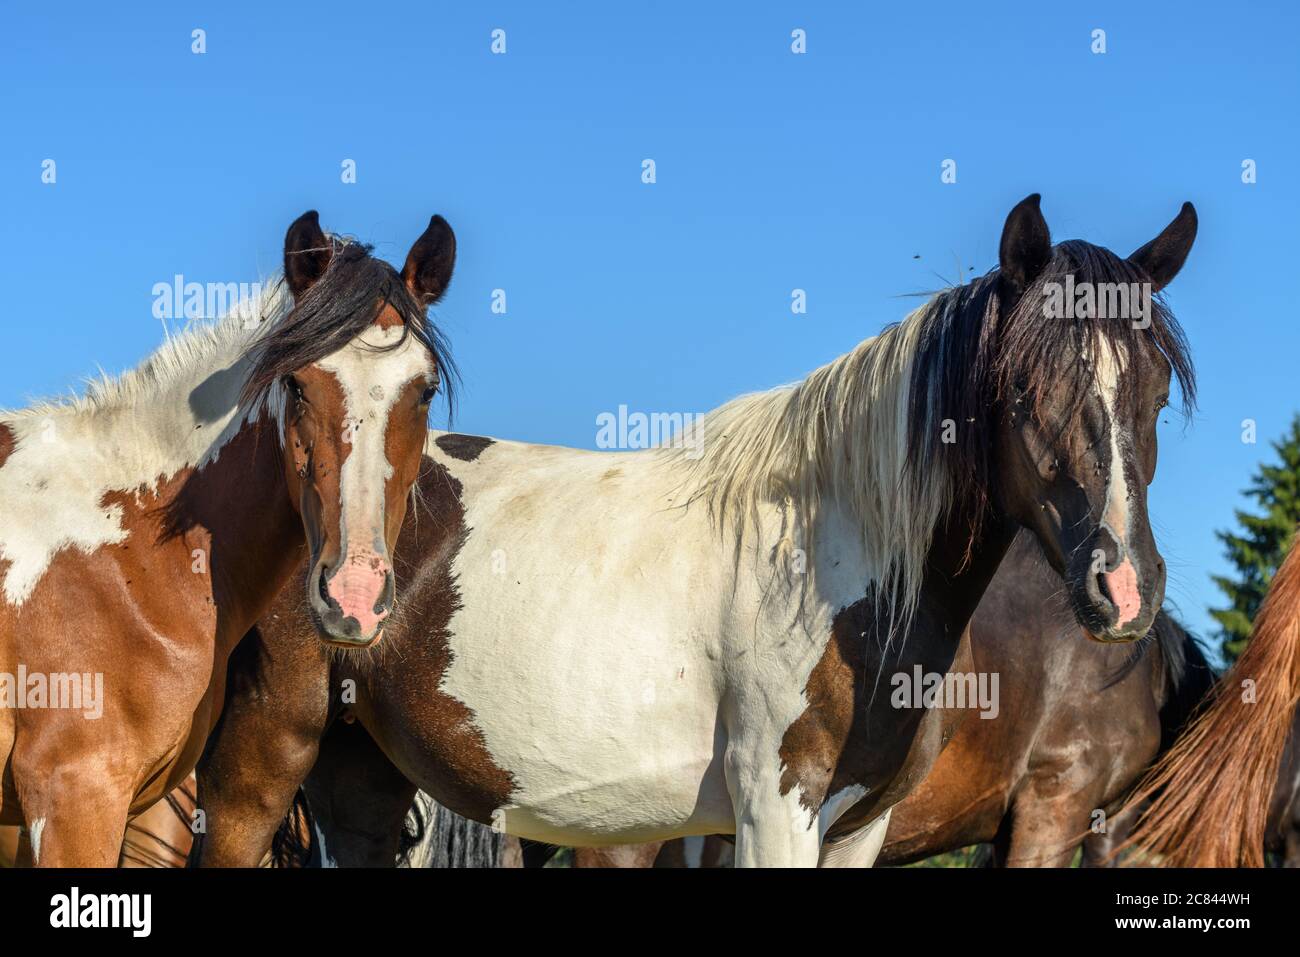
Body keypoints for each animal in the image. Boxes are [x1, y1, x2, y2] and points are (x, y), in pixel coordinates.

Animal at [192, 195, 1198, 868]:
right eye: (1025, 389)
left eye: (1155, 394)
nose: (1123, 588)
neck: (836, 565)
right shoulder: (774, 811)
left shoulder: (858, 827)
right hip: (258, 764)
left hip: (359, 786)